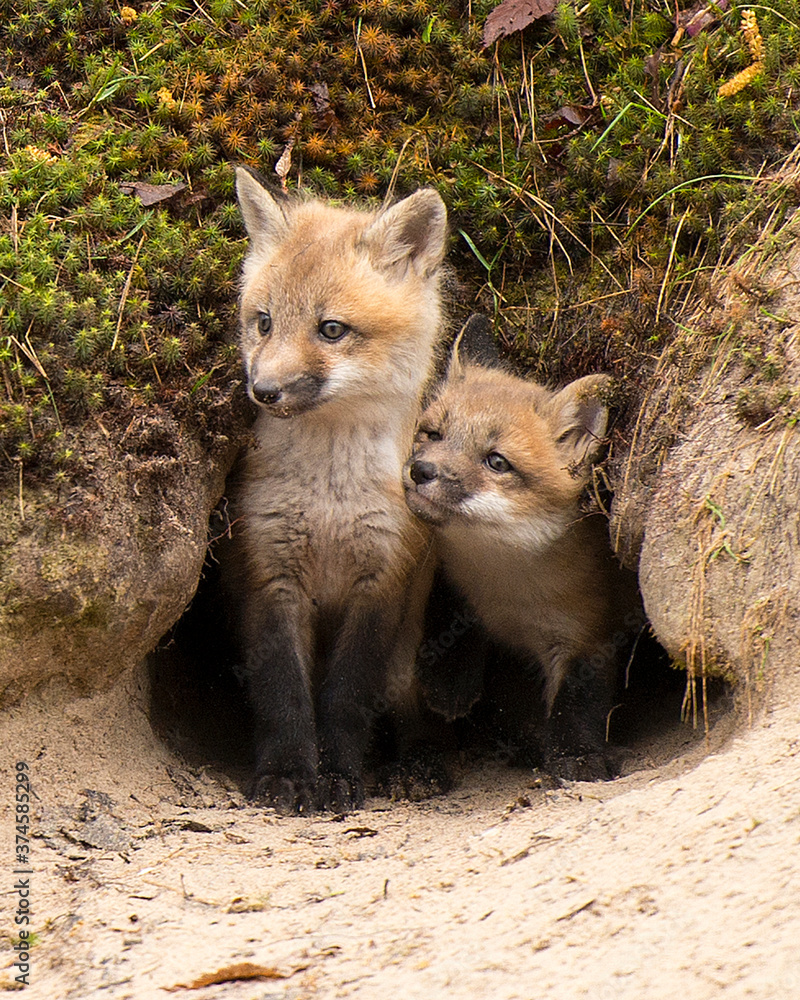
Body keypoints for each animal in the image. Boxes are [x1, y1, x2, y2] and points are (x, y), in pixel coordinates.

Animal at [224, 166, 448, 813]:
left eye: (331, 329)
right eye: (264, 321)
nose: (264, 391)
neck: (328, 499)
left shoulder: (384, 578)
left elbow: (348, 694)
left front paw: (341, 775)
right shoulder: (269, 574)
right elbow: (283, 693)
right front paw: (289, 774)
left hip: (407, 655)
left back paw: (416, 766)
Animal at [403, 323, 642, 779]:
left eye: (497, 462)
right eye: (433, 434)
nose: (420, 470)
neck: (509, 588)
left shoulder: (589, 632)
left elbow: (577, 701)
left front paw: (576, 756)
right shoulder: (456, 580)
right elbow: (451, 612)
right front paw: (448, 678)